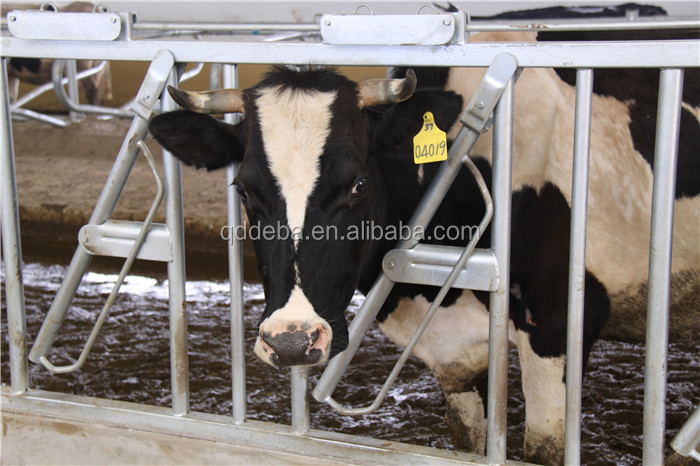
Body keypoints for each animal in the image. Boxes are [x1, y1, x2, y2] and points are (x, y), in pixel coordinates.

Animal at [148, 30, 699, 464]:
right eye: (244, 190)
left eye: (357, 184)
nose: (291, 341)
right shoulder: (456, 354)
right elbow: (472, 441)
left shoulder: (560, 322)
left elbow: (543, 449)